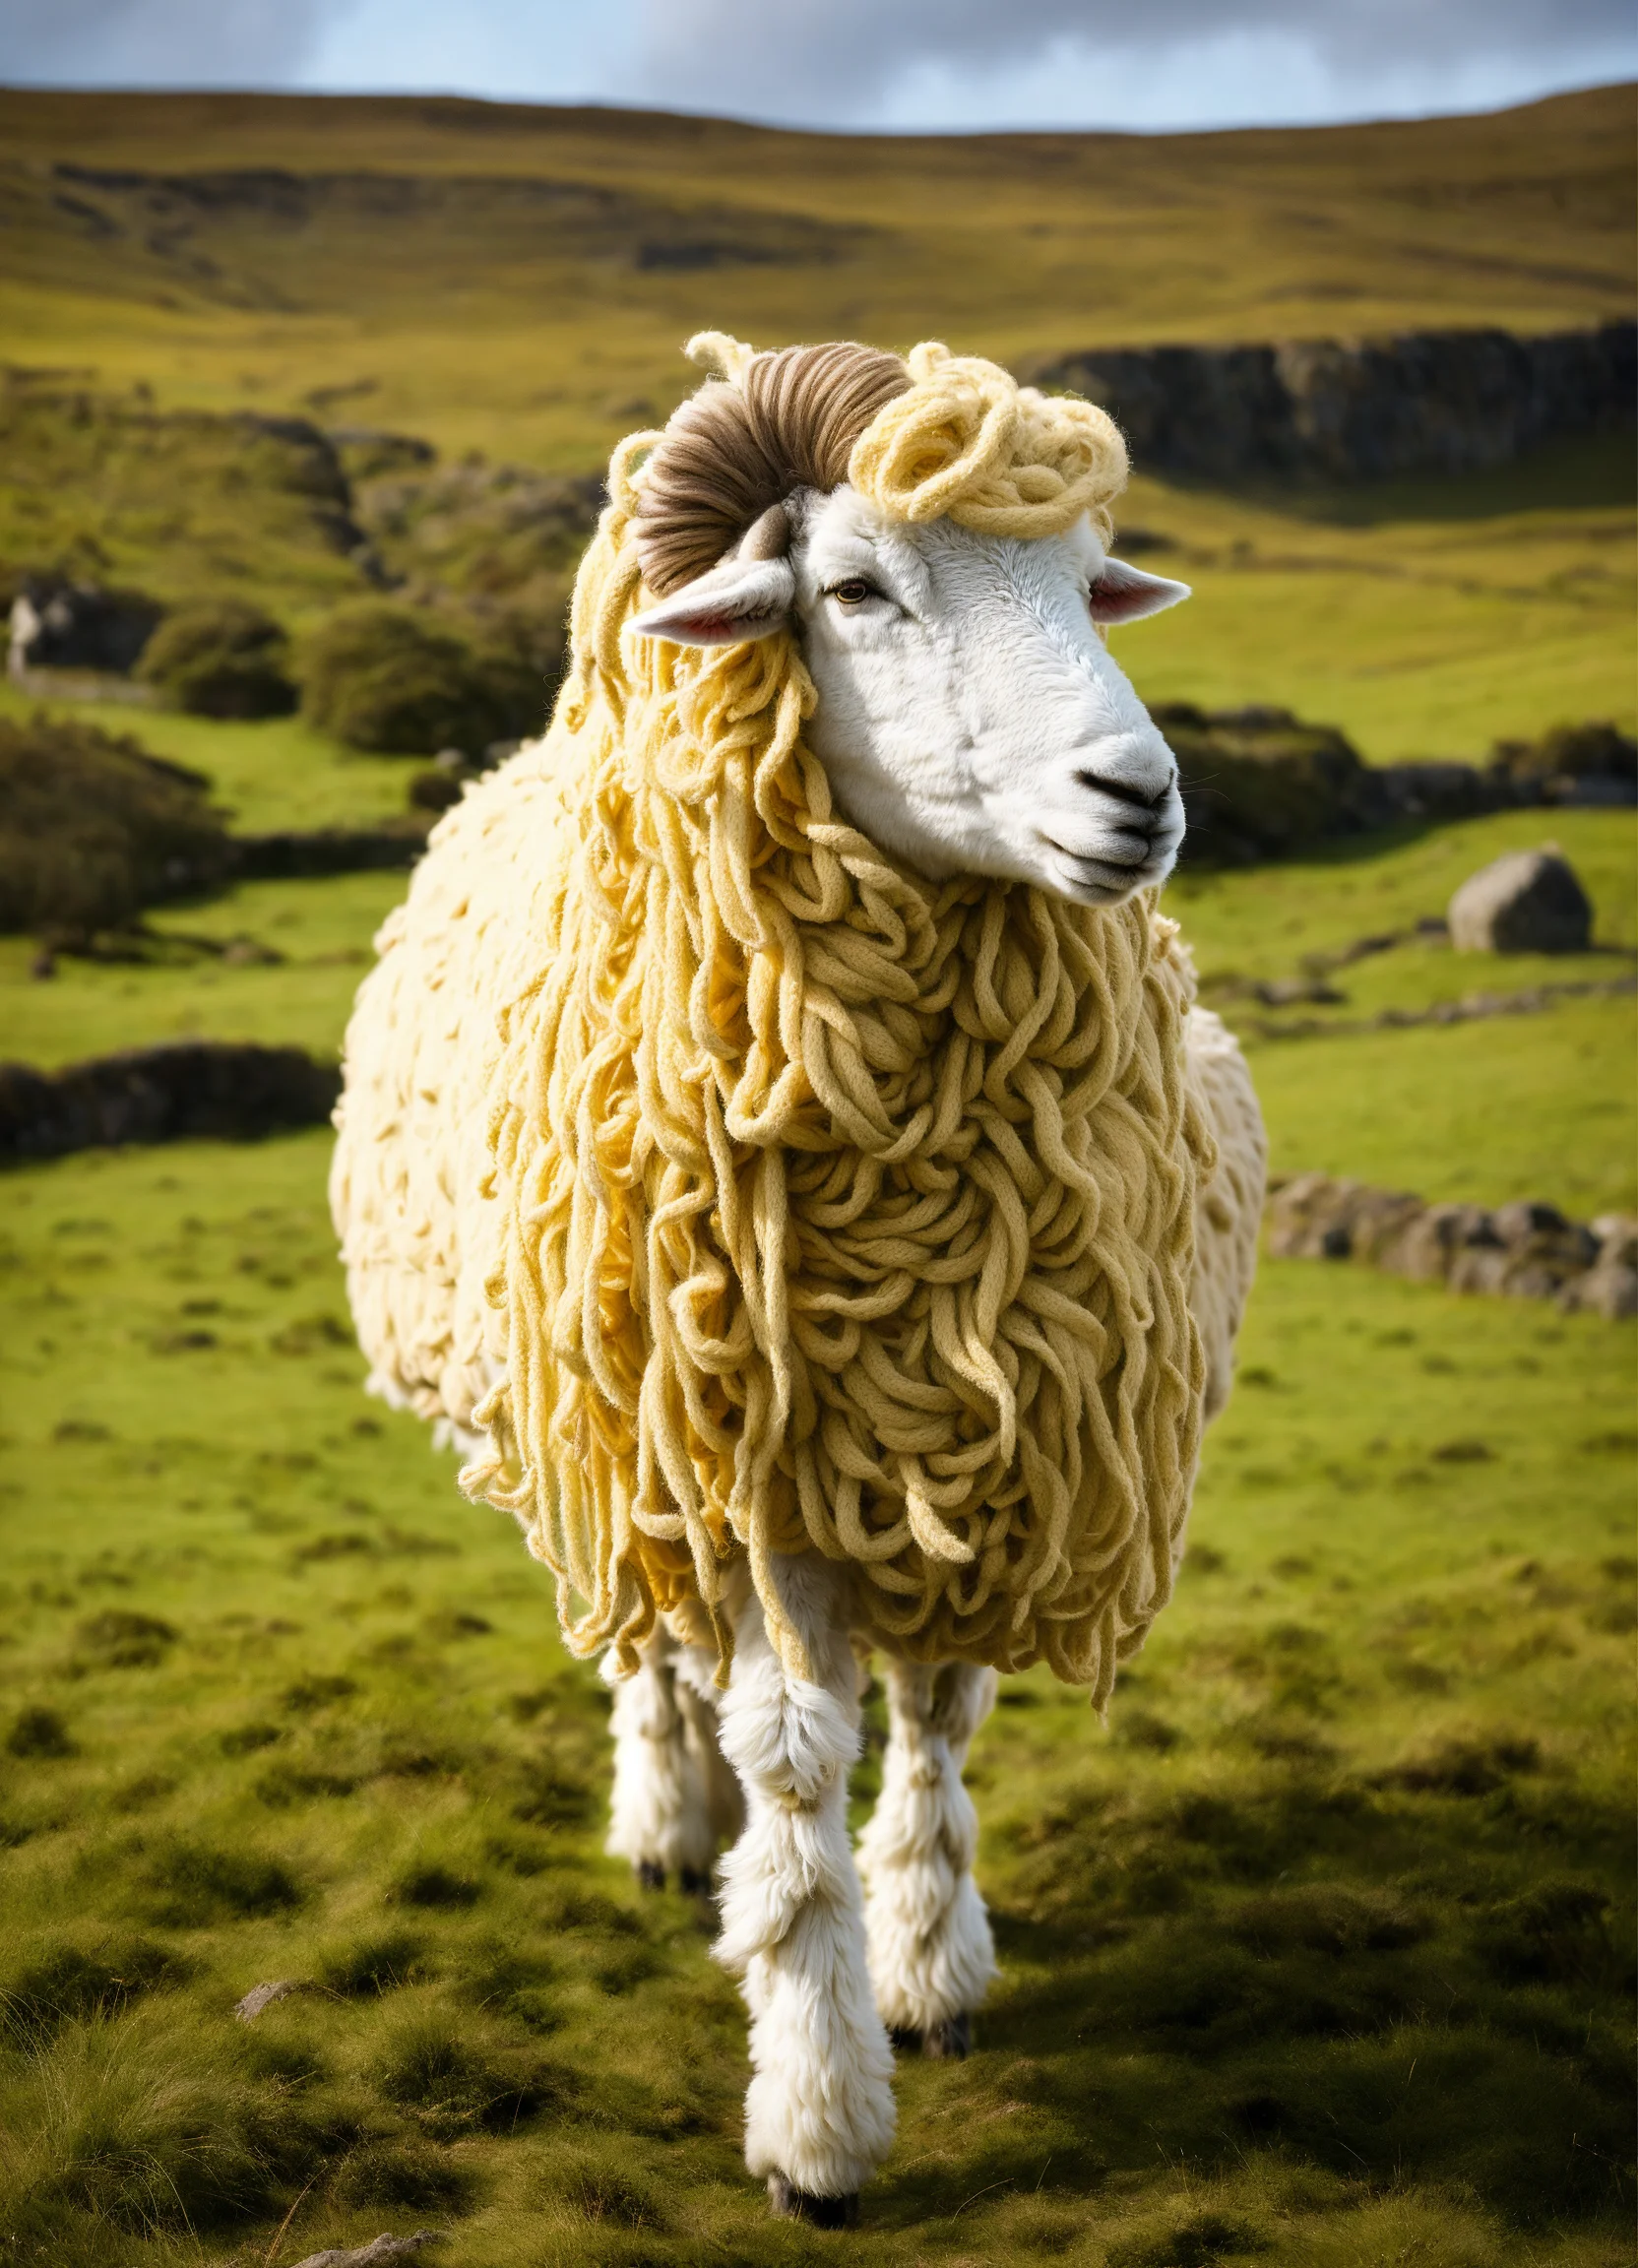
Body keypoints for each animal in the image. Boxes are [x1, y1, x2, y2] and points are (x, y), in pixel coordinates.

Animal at [331, 334, 1267, 2228]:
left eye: (1086, 580)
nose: (1137, 799)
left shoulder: (982, 1447)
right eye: (855, 589)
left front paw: (929, 1963)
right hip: (611, 1422)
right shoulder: (748, 1470)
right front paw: (818, 2107)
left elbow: (939, 1717)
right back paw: (664, 1818)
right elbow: (796, 1762)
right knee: (653, 1650)